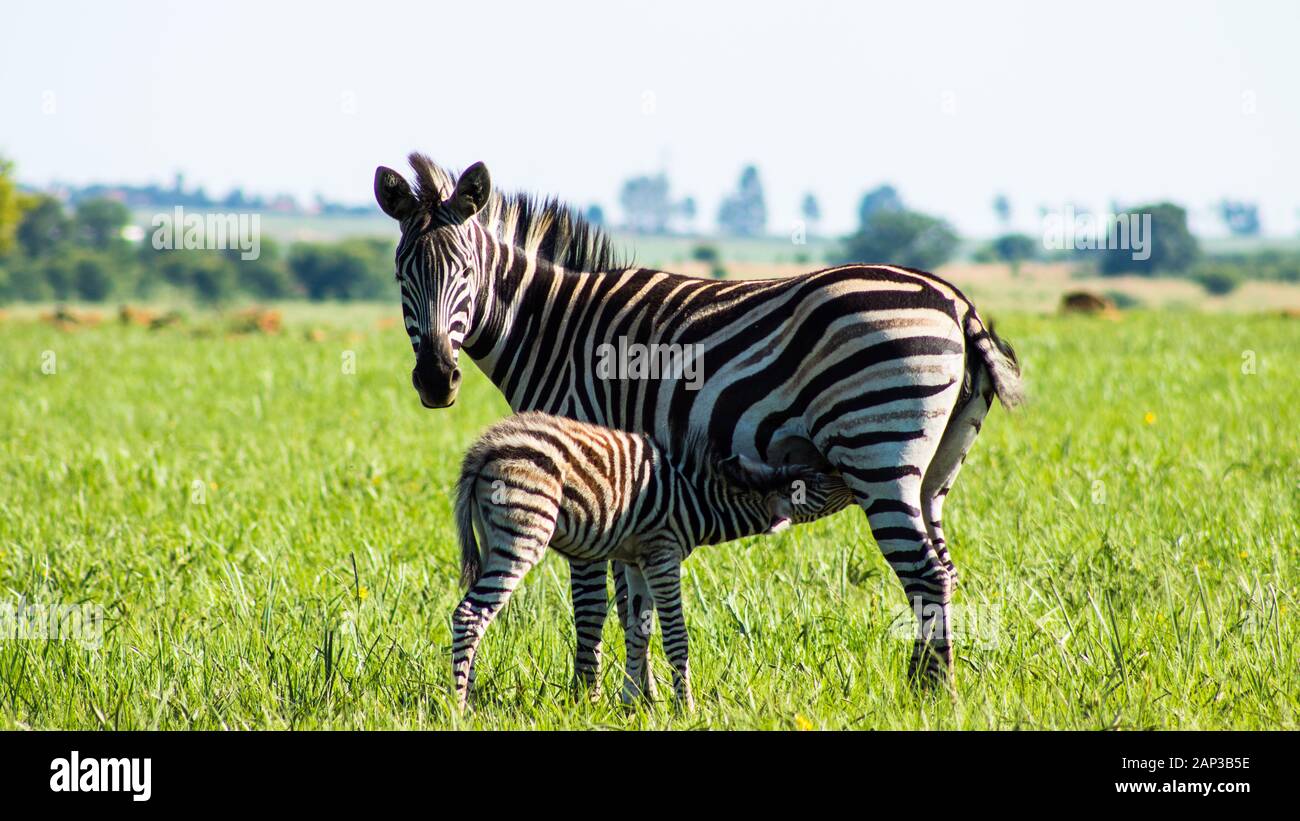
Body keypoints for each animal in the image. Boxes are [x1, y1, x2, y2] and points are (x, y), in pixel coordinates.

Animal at [451, 411, 832, 710]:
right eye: (816, 482)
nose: (837, 468)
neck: (696, 498)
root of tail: (487, 448)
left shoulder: (637, 560)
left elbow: (638, 630)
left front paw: (631, 705)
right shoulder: (662, 553)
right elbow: (676, 635)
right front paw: (685, 709)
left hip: (492, 538)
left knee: (479, 618)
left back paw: (470, 699)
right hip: (523, 533)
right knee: (470, 614)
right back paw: (458, 708)